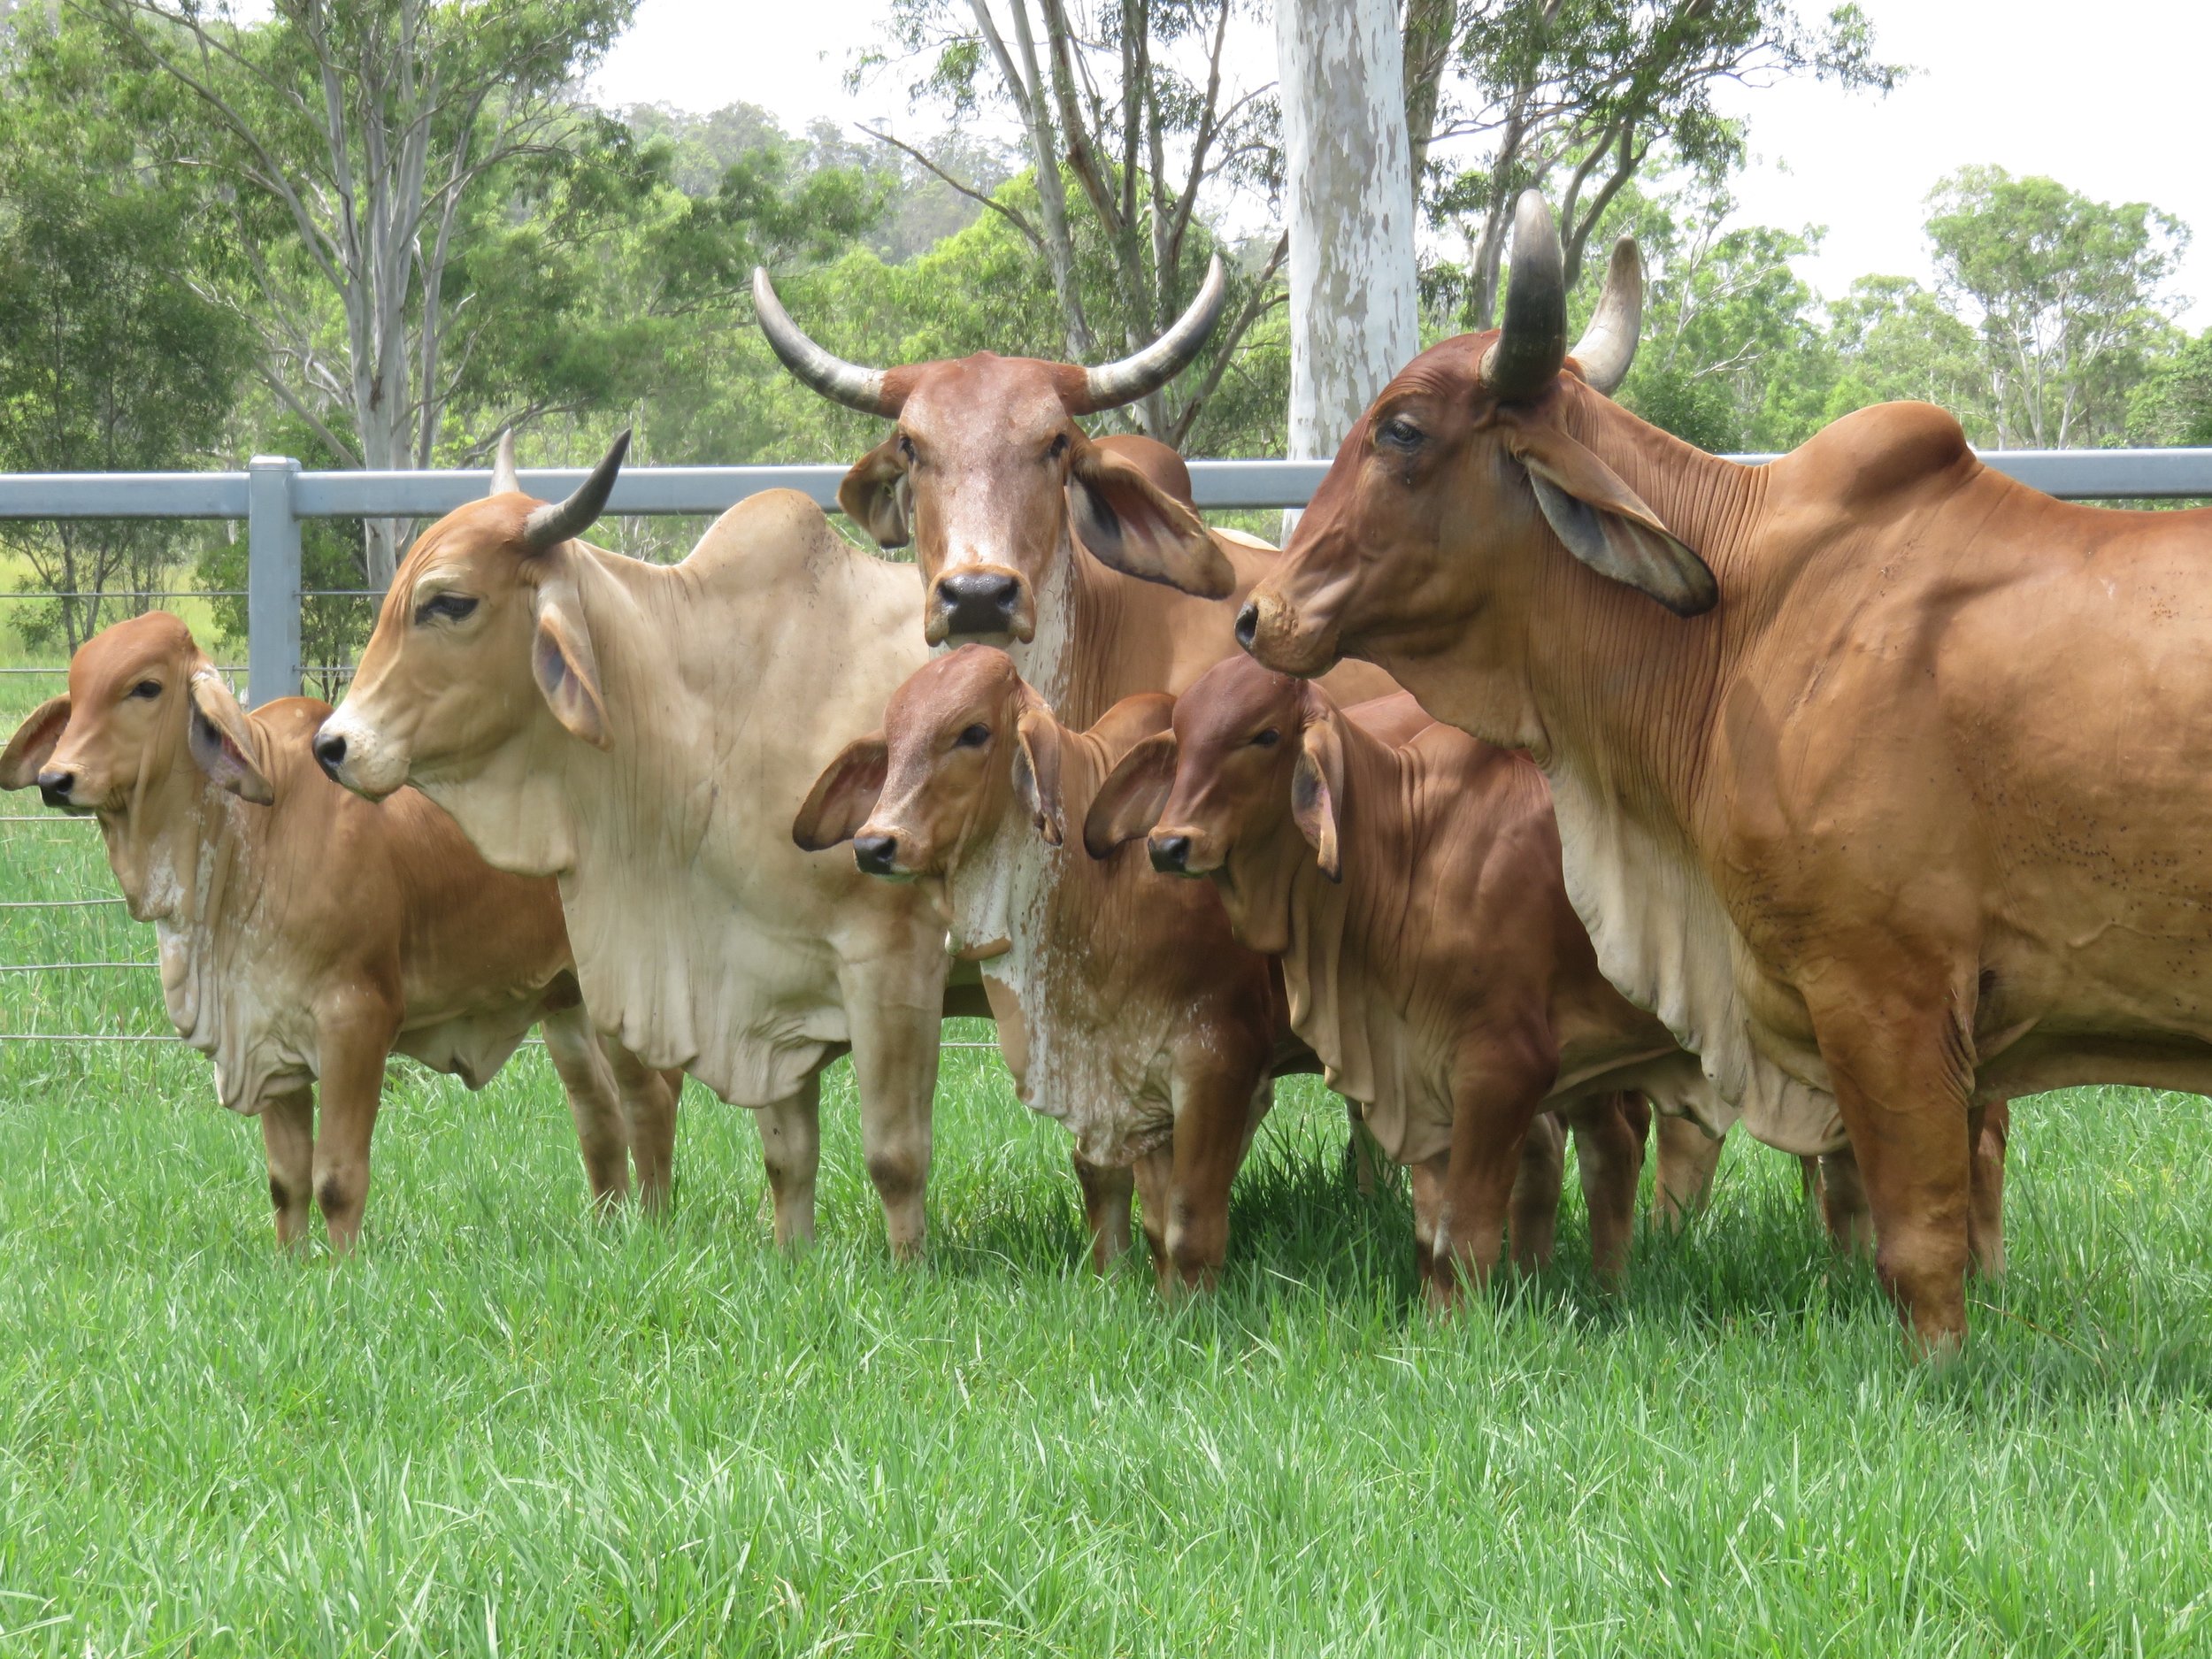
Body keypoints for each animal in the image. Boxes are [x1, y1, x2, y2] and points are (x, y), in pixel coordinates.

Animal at [0, 611, 680, 1248]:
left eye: (145, 686)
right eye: (76, 689)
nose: (56, 779)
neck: (242, 840)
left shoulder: (357, 1021)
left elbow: (336, 1176)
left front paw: (342, 1269)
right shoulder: (267, 1032)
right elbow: (286, 1180)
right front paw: (293, 1264)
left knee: (649, 1097)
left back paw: (652, 1227)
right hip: (563, 1000)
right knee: (599, 1114)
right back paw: (608, 1228)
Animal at [313, 437, 979, 1258]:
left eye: (449, 601)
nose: (333, 745)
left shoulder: (894, 959)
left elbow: (896, 1156)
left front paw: (909, 1268)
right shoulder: (761, 982)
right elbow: (788, 1156)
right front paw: (794, 1256)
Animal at [1083, 654, 1725, 1298]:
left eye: (1264, 735)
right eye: (1183, 737)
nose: (1168, 845)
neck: (1410, 853)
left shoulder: (1505, 1071)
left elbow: (1463, 1237)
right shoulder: (1417, 1074)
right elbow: (1430, 1244)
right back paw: (1606, 1289)